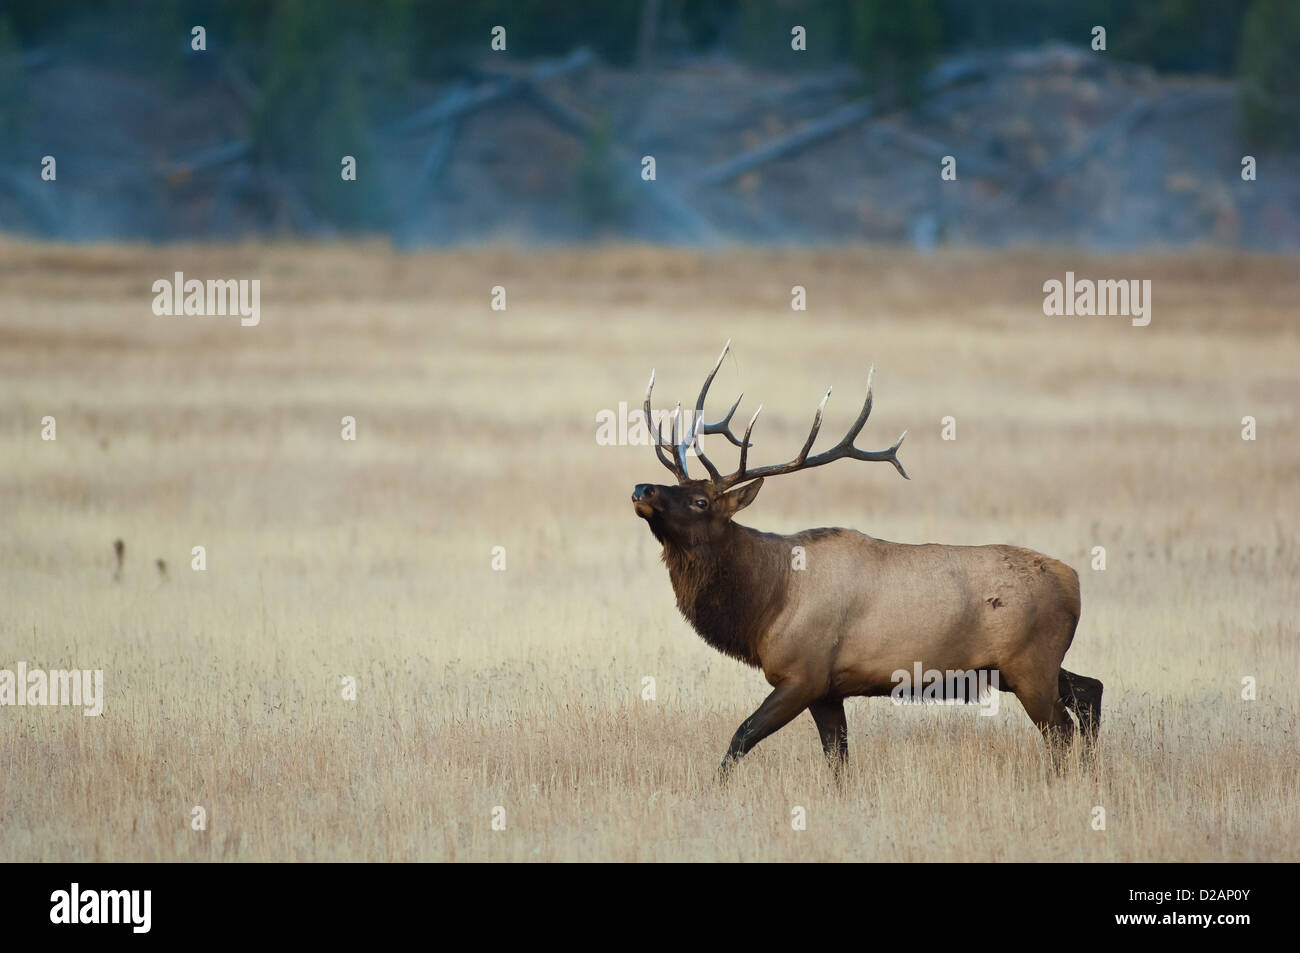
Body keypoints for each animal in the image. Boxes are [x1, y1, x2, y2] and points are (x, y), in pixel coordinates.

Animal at [632, 342, 1102, 780]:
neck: (765, 605)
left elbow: (741, 736)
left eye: (701, 500)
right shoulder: (827, 690)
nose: (641, 488)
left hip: (1031, 663)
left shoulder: (803, 674)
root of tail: (1074, 581)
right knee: (1091, 691)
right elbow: (837, 759)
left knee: (1061, 730)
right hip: (1021, 667)